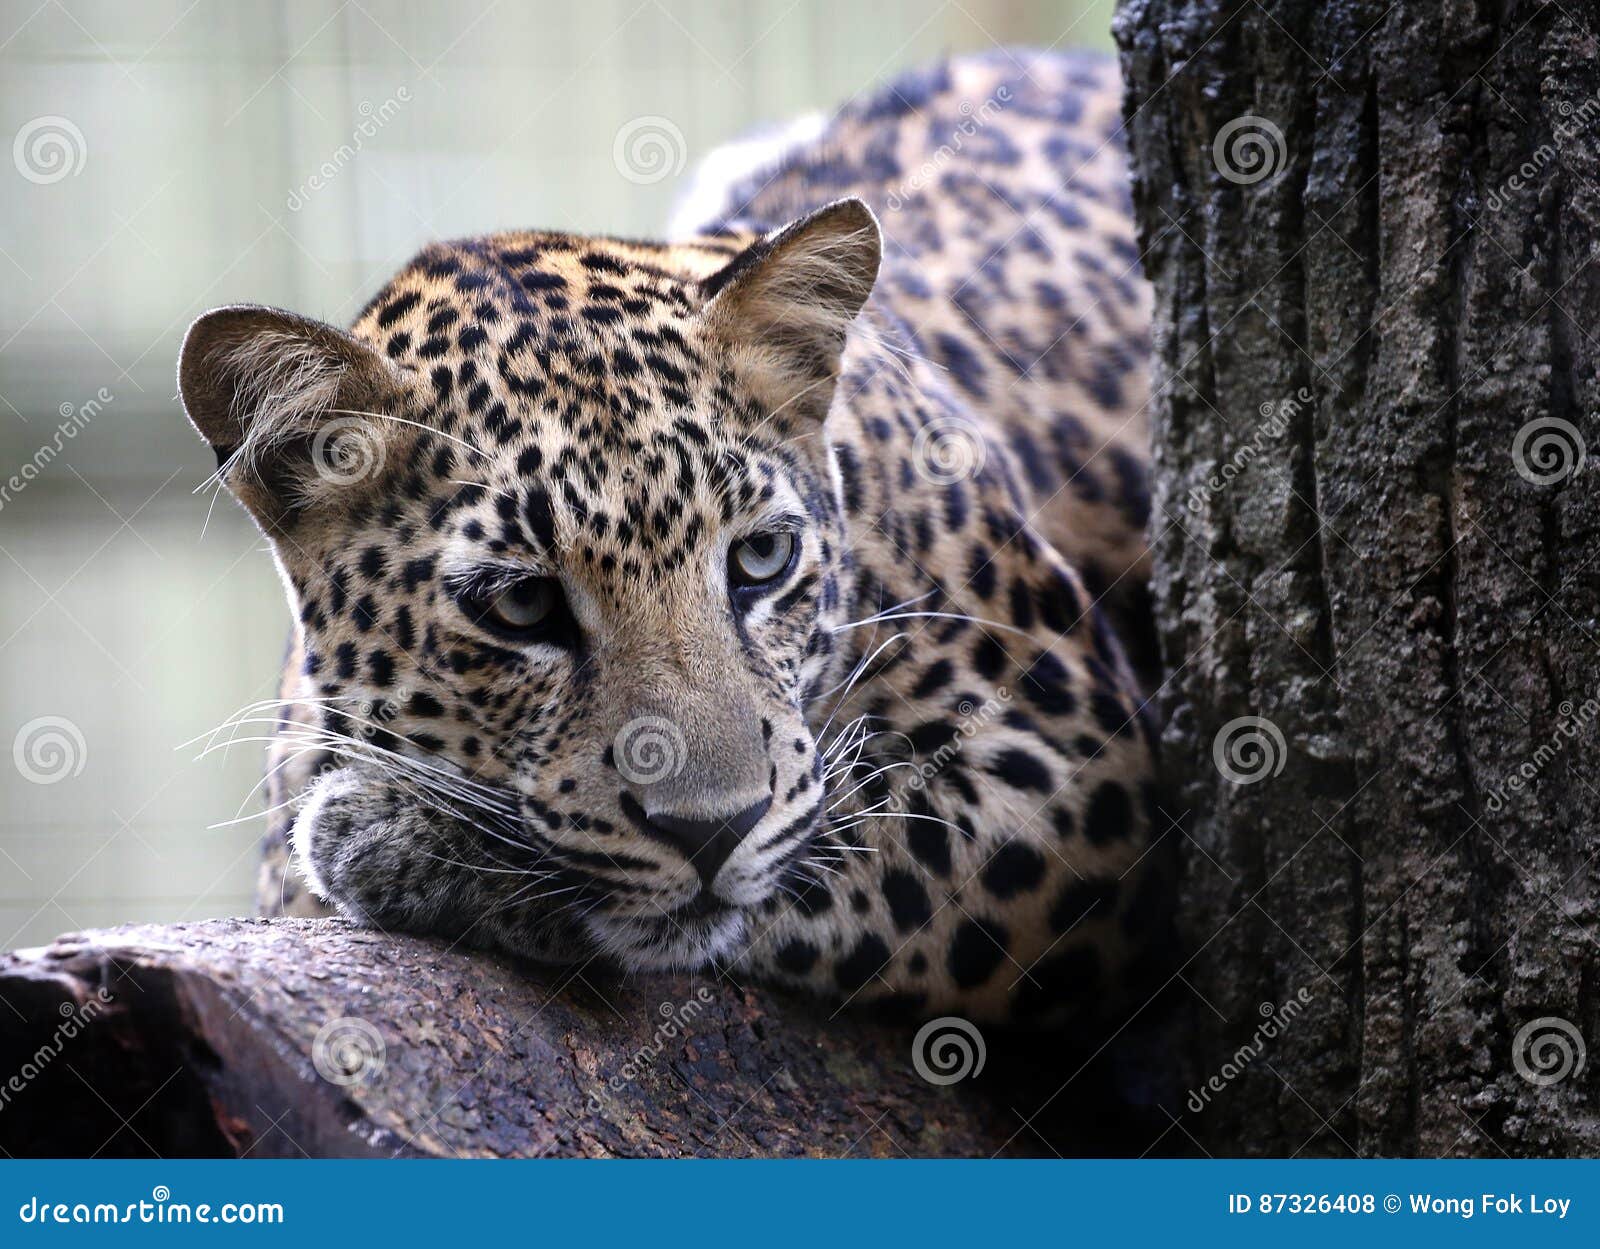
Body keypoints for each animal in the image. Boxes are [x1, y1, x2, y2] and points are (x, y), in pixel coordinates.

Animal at [178, 48, 1169, 1027]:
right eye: (520, 603)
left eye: (762, 559)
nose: (712, 830)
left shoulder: (1073, 759)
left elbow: (851, 830)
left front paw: (387, 834)